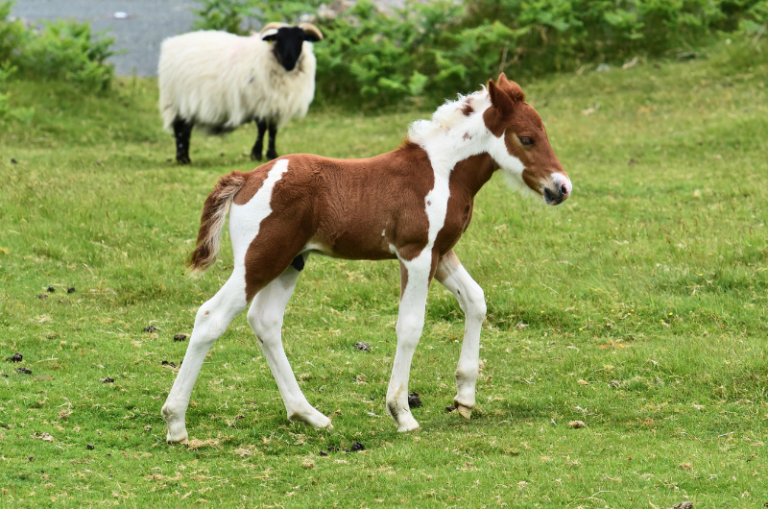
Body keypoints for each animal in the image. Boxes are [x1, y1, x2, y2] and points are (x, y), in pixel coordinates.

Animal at [161, 73, 572, 443]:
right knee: (211, 316)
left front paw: (465, 397)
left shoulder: (441, 253)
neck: (442, 171)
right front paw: (401, 413)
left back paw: (308, 415)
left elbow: (476, 300)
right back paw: (176, 424)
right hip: (260, 259)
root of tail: (246, 178)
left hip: (291, 261)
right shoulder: (415, 254)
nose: (562, 187)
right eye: (526, 138)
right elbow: (410, 326)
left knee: (265, 322)